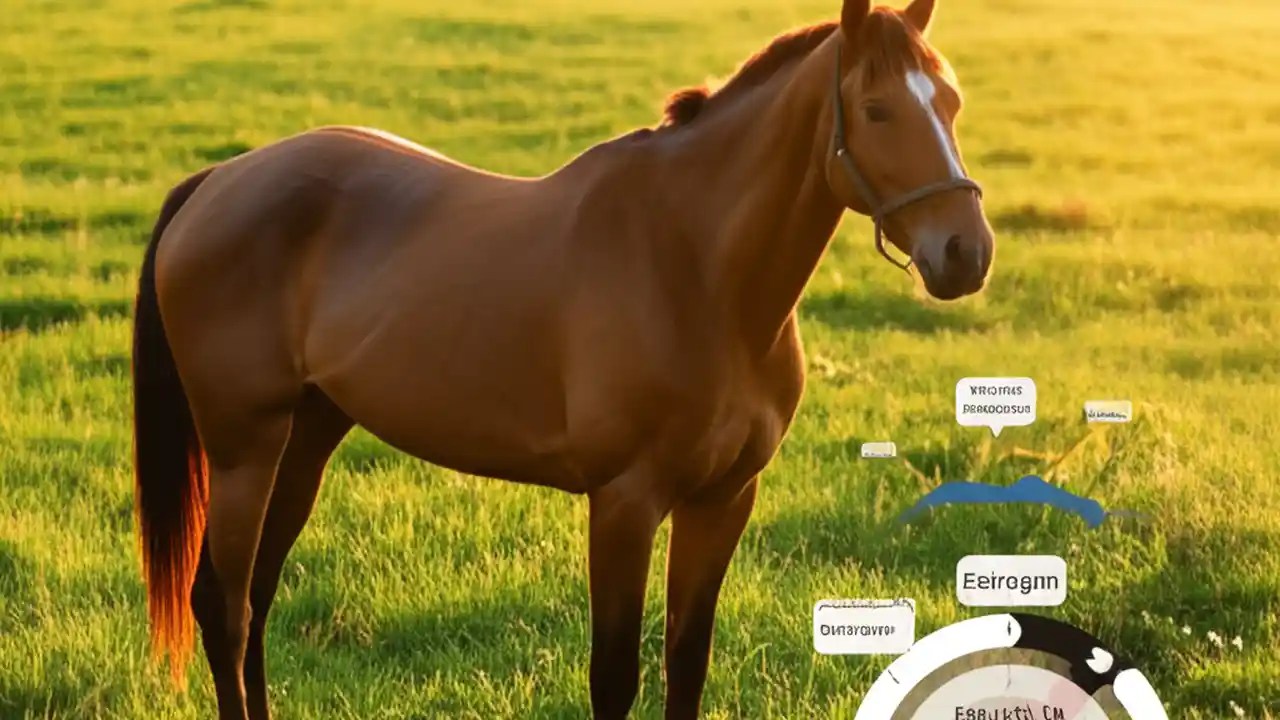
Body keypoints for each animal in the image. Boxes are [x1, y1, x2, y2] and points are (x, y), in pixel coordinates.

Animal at [131, 0, 993, 717]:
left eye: (952, 103)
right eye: (877, 109)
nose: (966, 253)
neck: (693, 267)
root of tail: (219, 180)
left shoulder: (722, 500)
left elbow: (687, 661)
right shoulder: (623, 503)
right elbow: (614, 675)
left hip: (306, 439)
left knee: (257, 598)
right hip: (244, 451)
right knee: (225, 607)